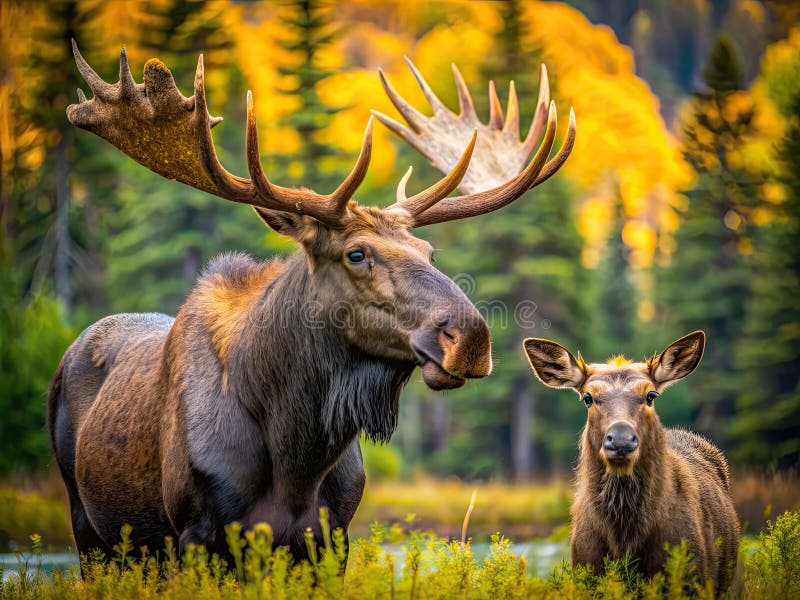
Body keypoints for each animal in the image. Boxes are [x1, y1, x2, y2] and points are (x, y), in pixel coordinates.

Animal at [49, 41, 576, 563]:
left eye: (429, 251)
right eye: (356, 254)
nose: (471, 339)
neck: (296, 462)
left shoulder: (330, 538)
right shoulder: (196, 535)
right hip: (88, 527)